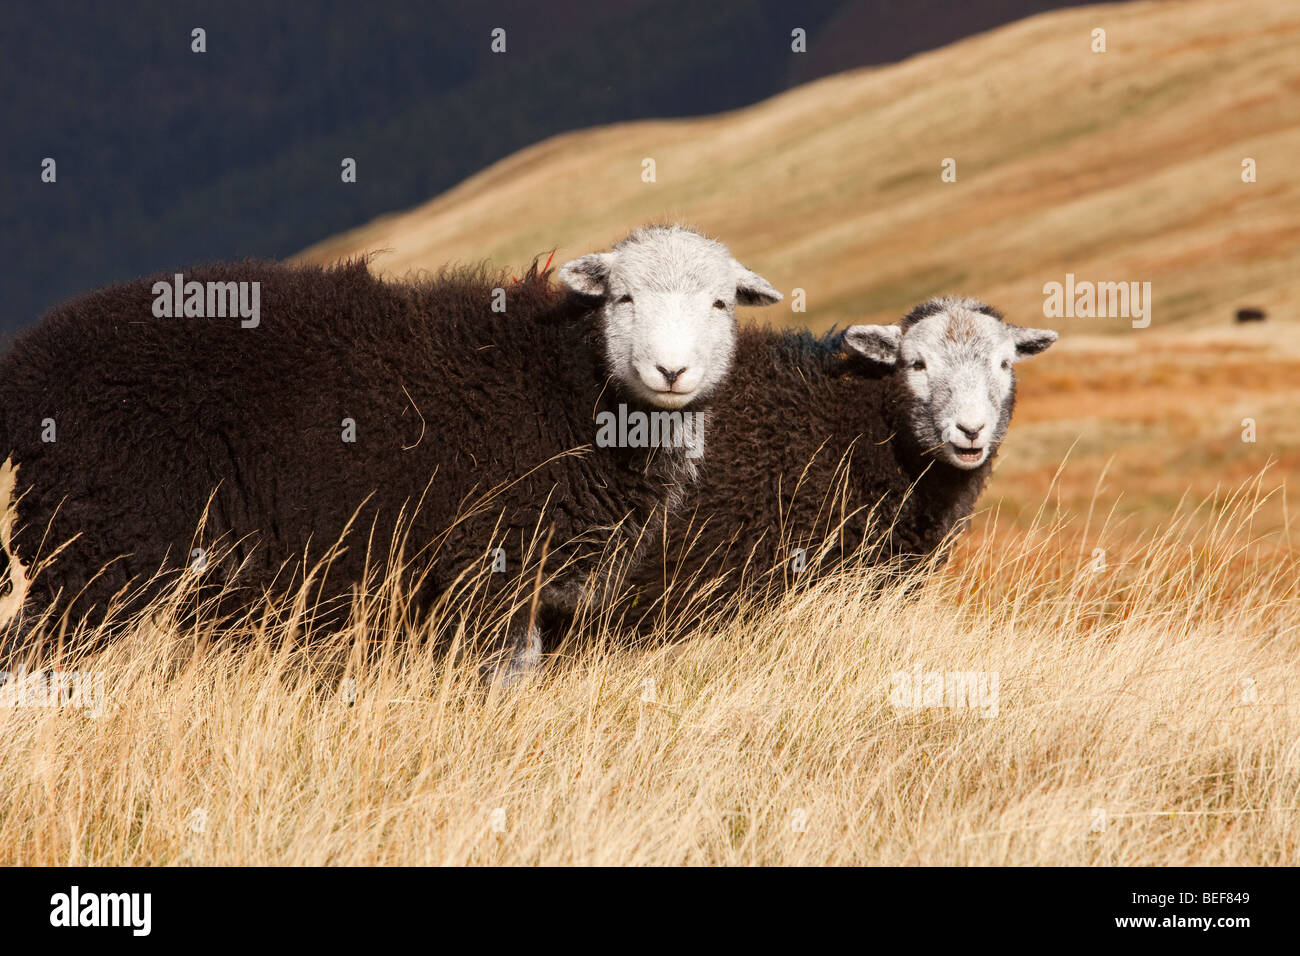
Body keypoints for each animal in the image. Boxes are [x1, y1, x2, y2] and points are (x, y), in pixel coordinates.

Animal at [0, 225, 782, 673]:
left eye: (721, 303)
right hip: (105, 546)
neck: (565, 385)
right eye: (623, 299)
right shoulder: (485, 566)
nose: (671, 372)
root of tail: (27, 366)